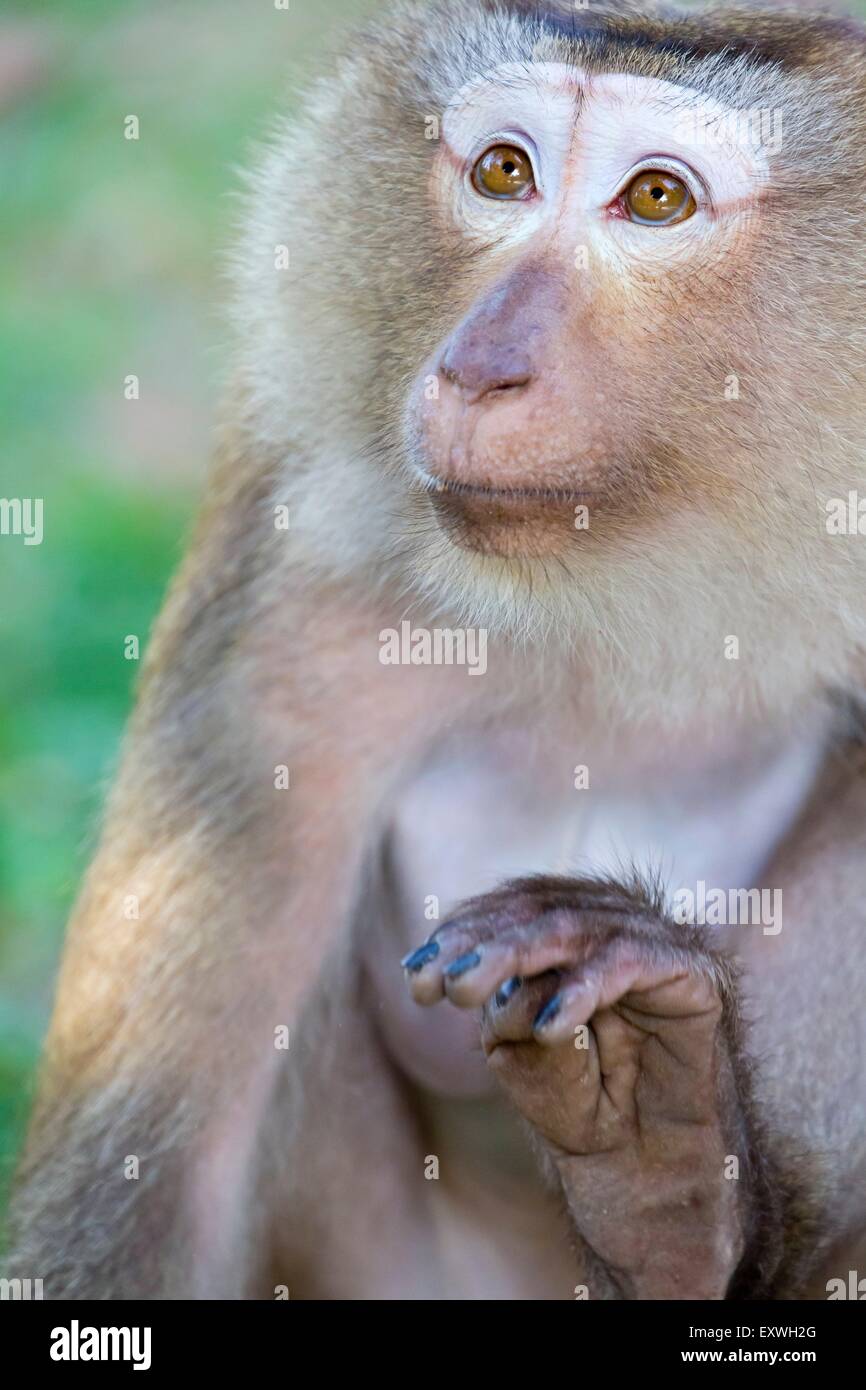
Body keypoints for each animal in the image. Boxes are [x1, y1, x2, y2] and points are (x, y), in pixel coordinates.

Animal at [6, 0, 866, 1300]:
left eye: (654, 199)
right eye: (501, 173)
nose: (475, 367)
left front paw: (664, 1163)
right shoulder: (299, 576)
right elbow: (134, 1198)